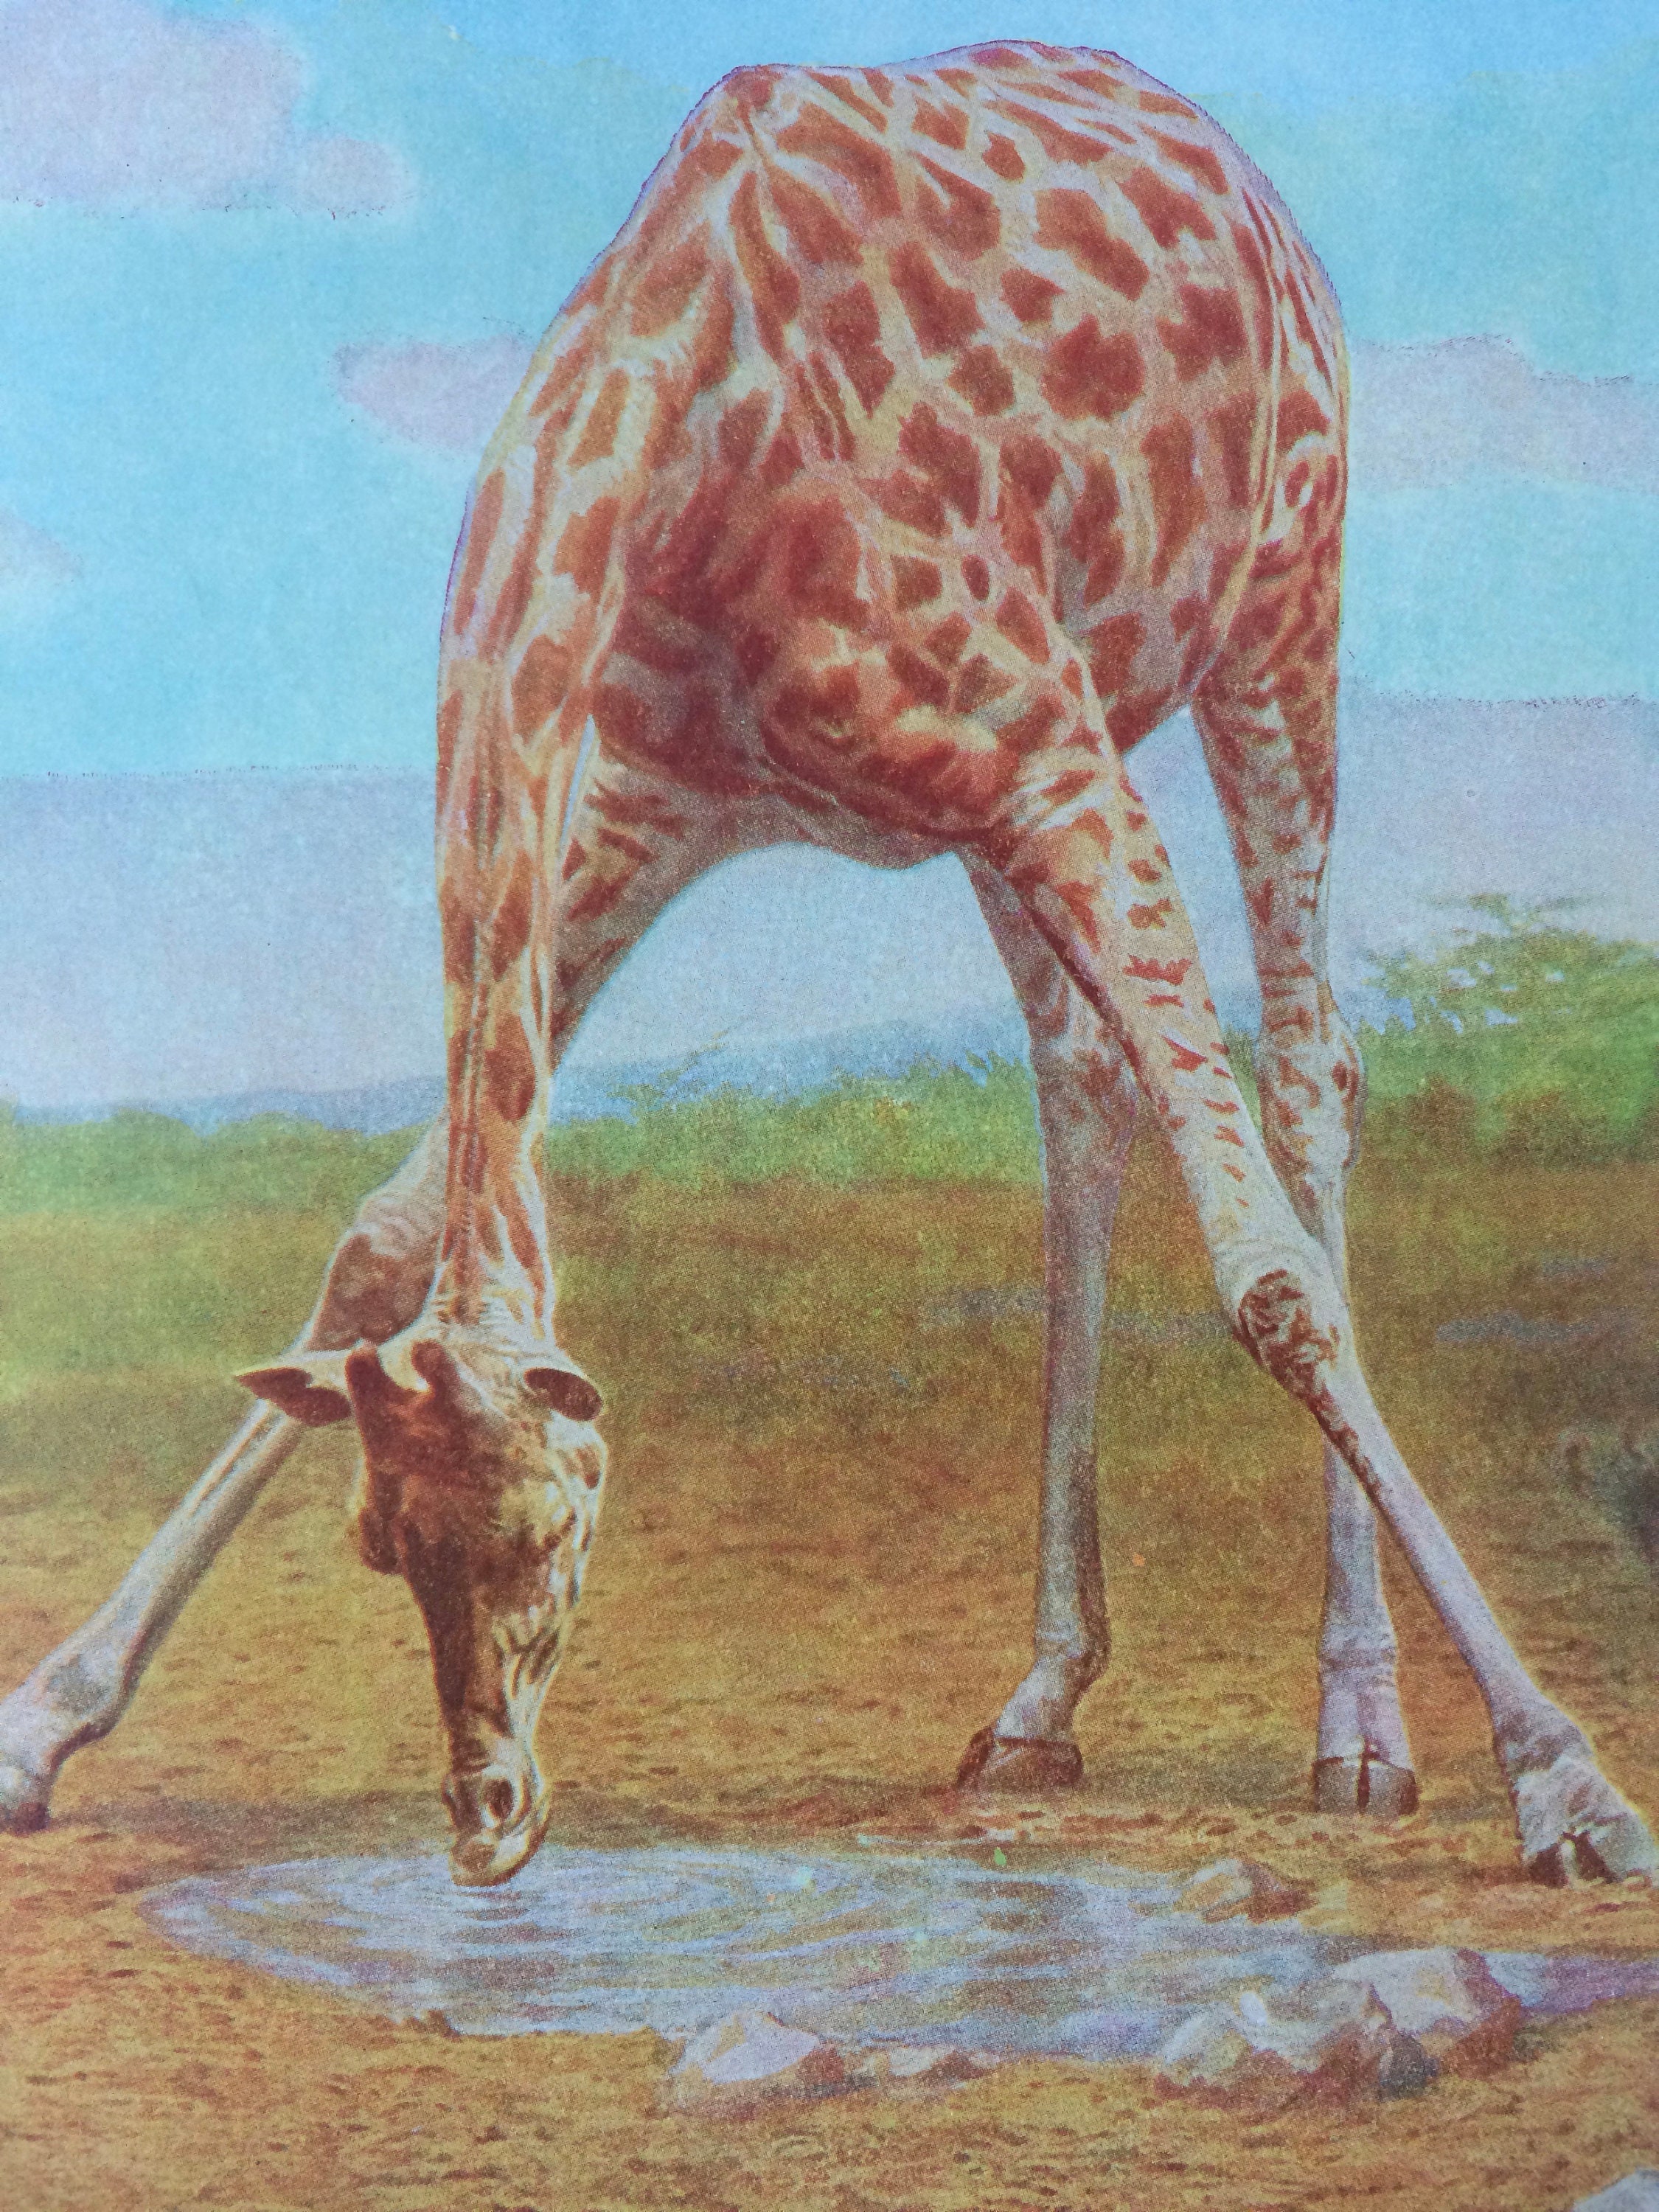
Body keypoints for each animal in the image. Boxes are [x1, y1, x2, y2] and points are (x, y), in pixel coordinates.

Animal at [2, 40, 1651, 1892]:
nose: (487, 1819)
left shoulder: (1042, 758)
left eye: (549, 1518)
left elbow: (1272, 1280)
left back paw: (1356, 1732)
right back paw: (1040, 1702)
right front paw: (41, 1723)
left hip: (1276, 596)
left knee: (1307, 1073)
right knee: (1081, 1083)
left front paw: (1567, 1779)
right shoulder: (656, 806)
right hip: (1054, 742)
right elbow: (383, 1234)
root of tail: (1219, 152)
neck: (682, 422)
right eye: (377, 1542)